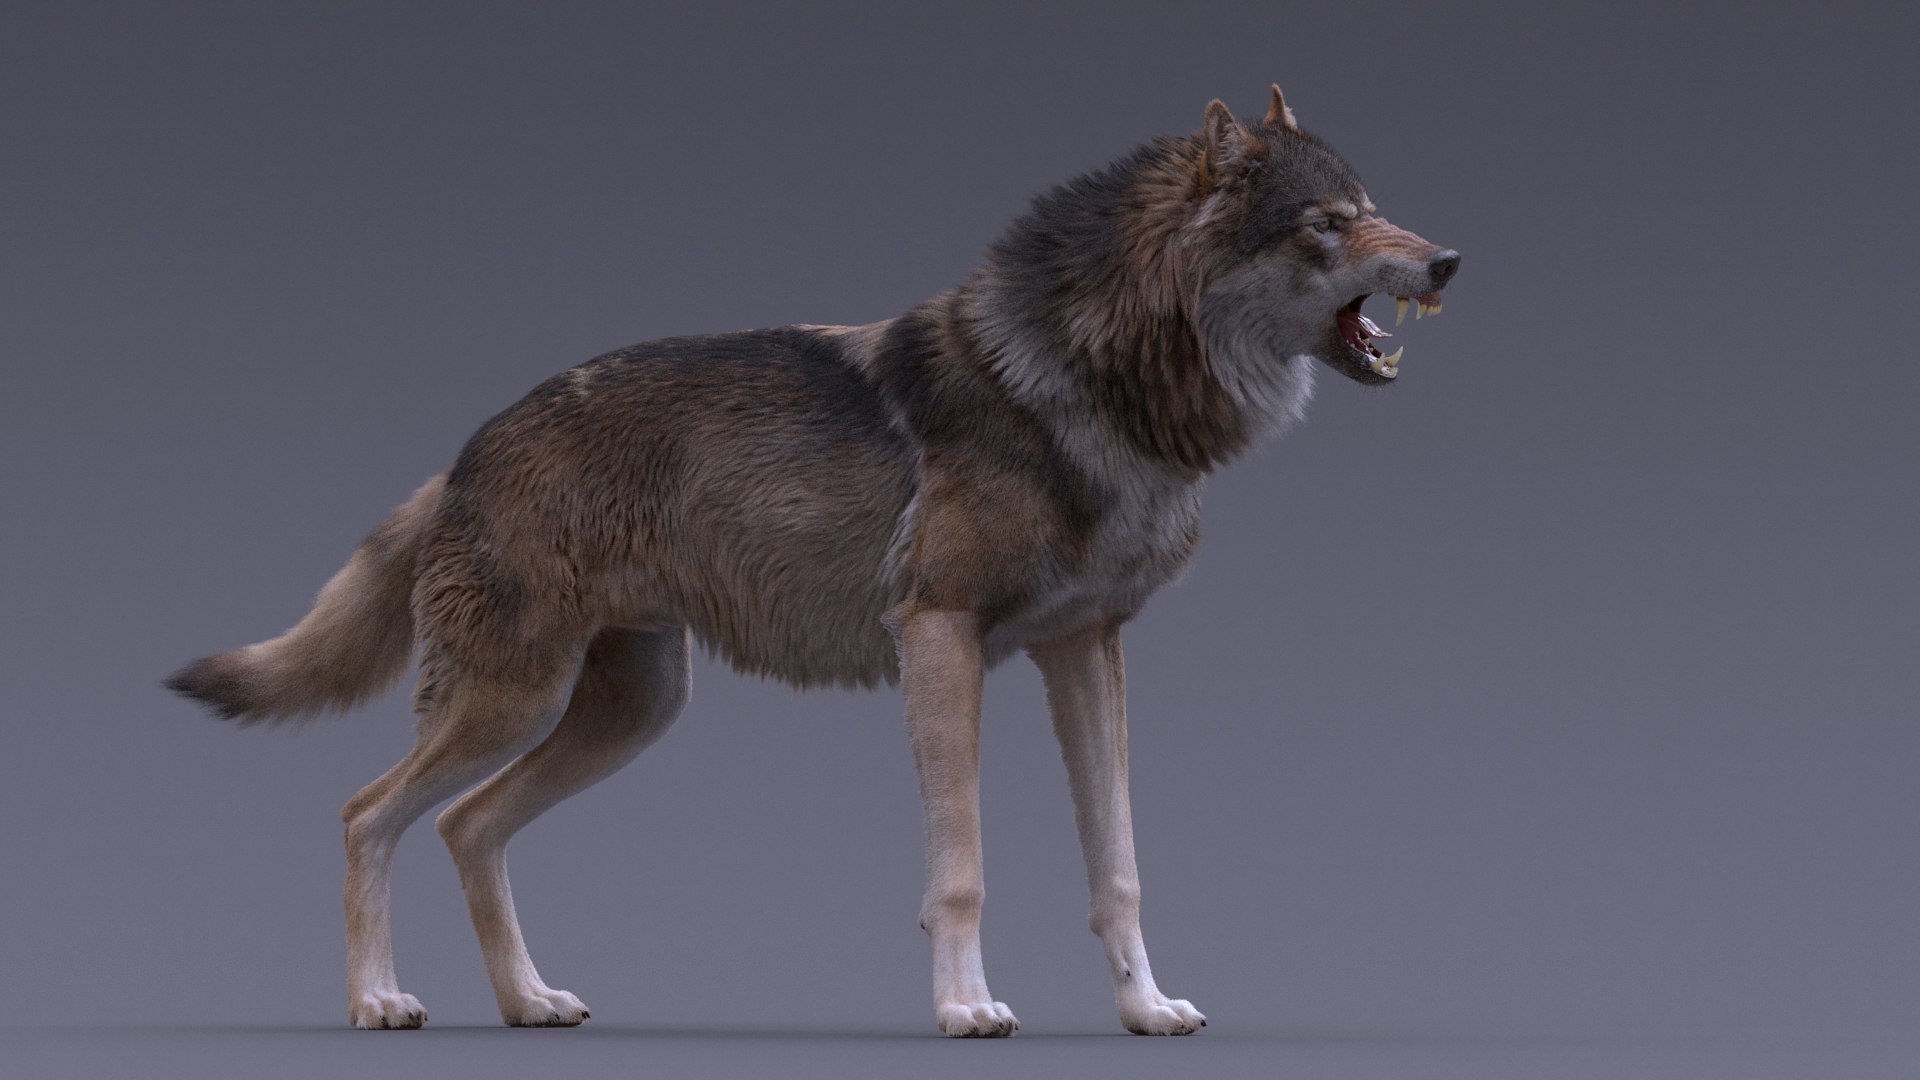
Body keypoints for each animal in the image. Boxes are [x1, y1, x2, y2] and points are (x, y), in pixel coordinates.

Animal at [168, 86, 1459, 1037]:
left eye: (1373, 204)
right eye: (1329, 222)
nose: (1449, 259)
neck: (1090, 394)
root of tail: (462, 453)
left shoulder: (1086, 650)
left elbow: (1121, 865)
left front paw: (1144, 1012)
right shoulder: (939, 637)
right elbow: (962, 863)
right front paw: (966, 1009)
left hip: (626, 713)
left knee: (466, 827)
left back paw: (528, 1002)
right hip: (517, 702)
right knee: (366, 815)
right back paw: (378, 1002)